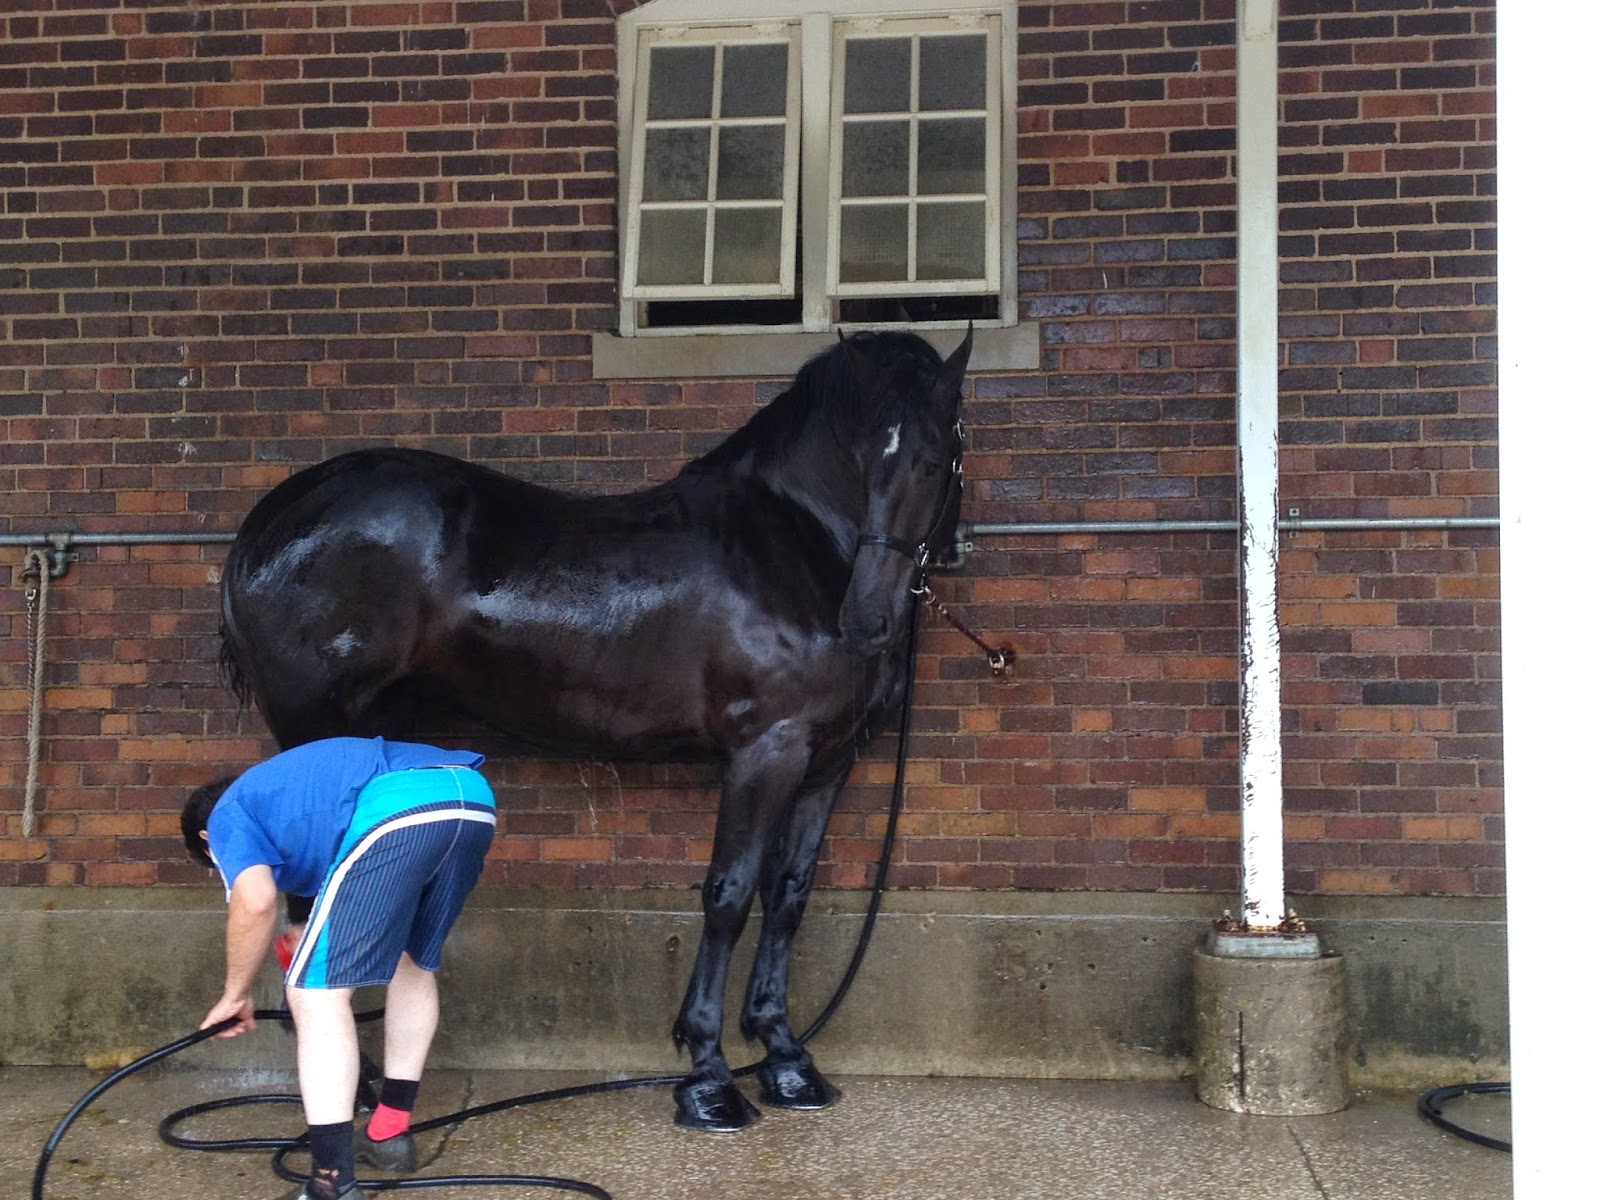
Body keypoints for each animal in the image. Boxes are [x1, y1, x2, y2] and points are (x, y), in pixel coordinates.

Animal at [216, 327, 972, 1131]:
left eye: (932, 459)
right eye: (862, 458)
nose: (868, 619)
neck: (794, 553)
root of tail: (265, 528)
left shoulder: (825, 764)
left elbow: (789, 895)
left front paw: (788, 1061)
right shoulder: (765, 752)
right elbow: (731, 896)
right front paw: (709, 1078)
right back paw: (348, 1094)